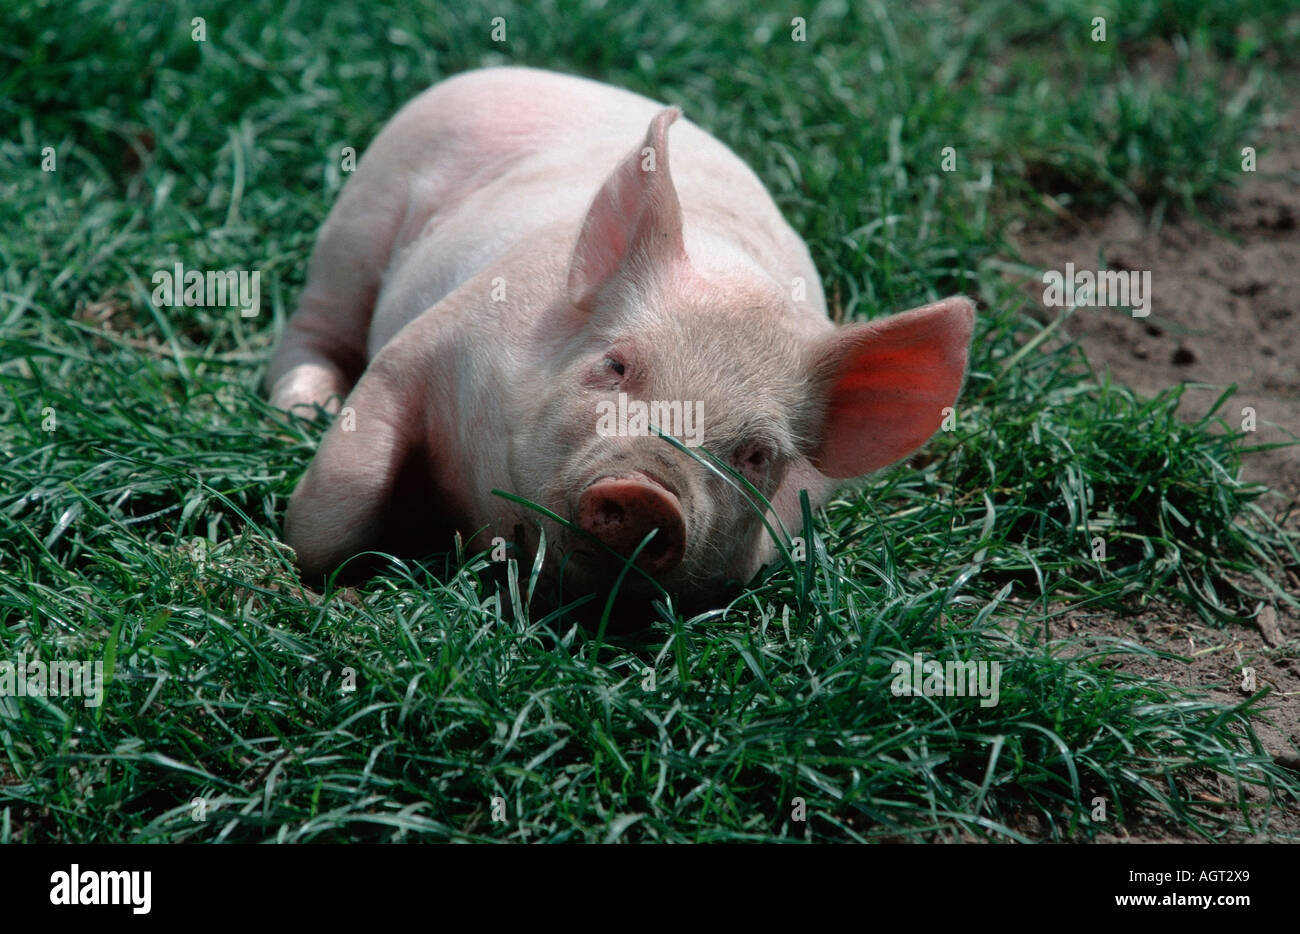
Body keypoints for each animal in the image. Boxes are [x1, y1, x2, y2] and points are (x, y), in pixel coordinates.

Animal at [267, 66, 974, 606]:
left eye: (757, 455)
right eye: (615, 365)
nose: (646, 492)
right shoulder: (428, 343)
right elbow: (340, 502)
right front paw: (319, 581)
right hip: (358, 222)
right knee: (315, 326)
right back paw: (307, 406)